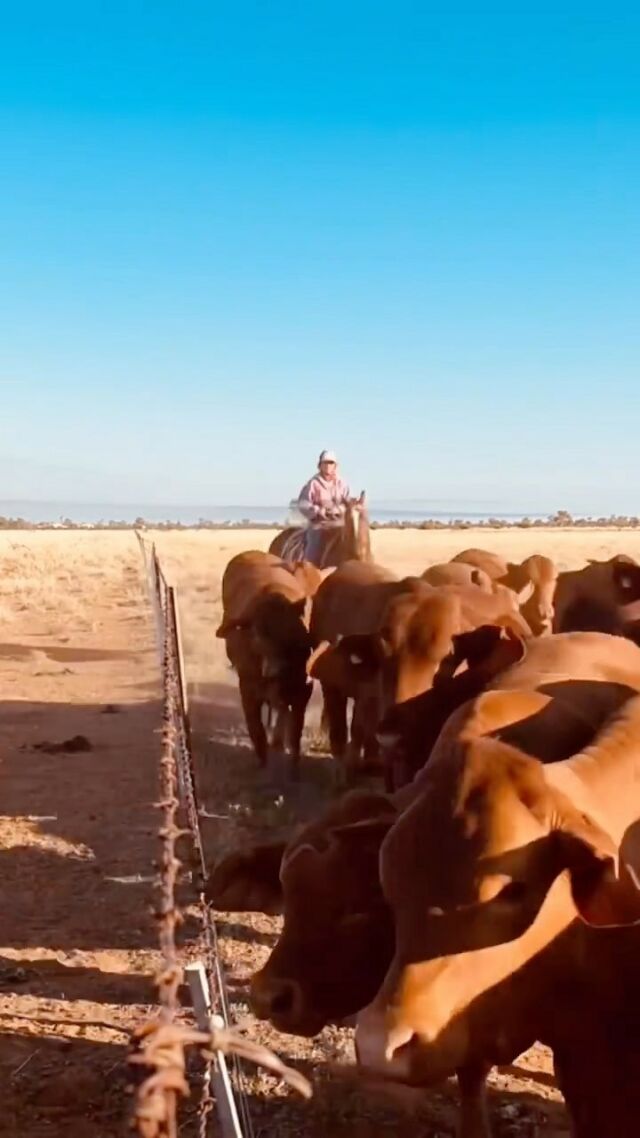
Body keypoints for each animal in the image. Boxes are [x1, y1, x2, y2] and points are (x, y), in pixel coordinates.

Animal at [216, 551, 317, 769]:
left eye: (292, 631)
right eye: (256, 633)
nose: (273, 671)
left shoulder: (303, 689)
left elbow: (295, 731)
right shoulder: (247, 688)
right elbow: (256, 728)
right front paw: (263, 761)